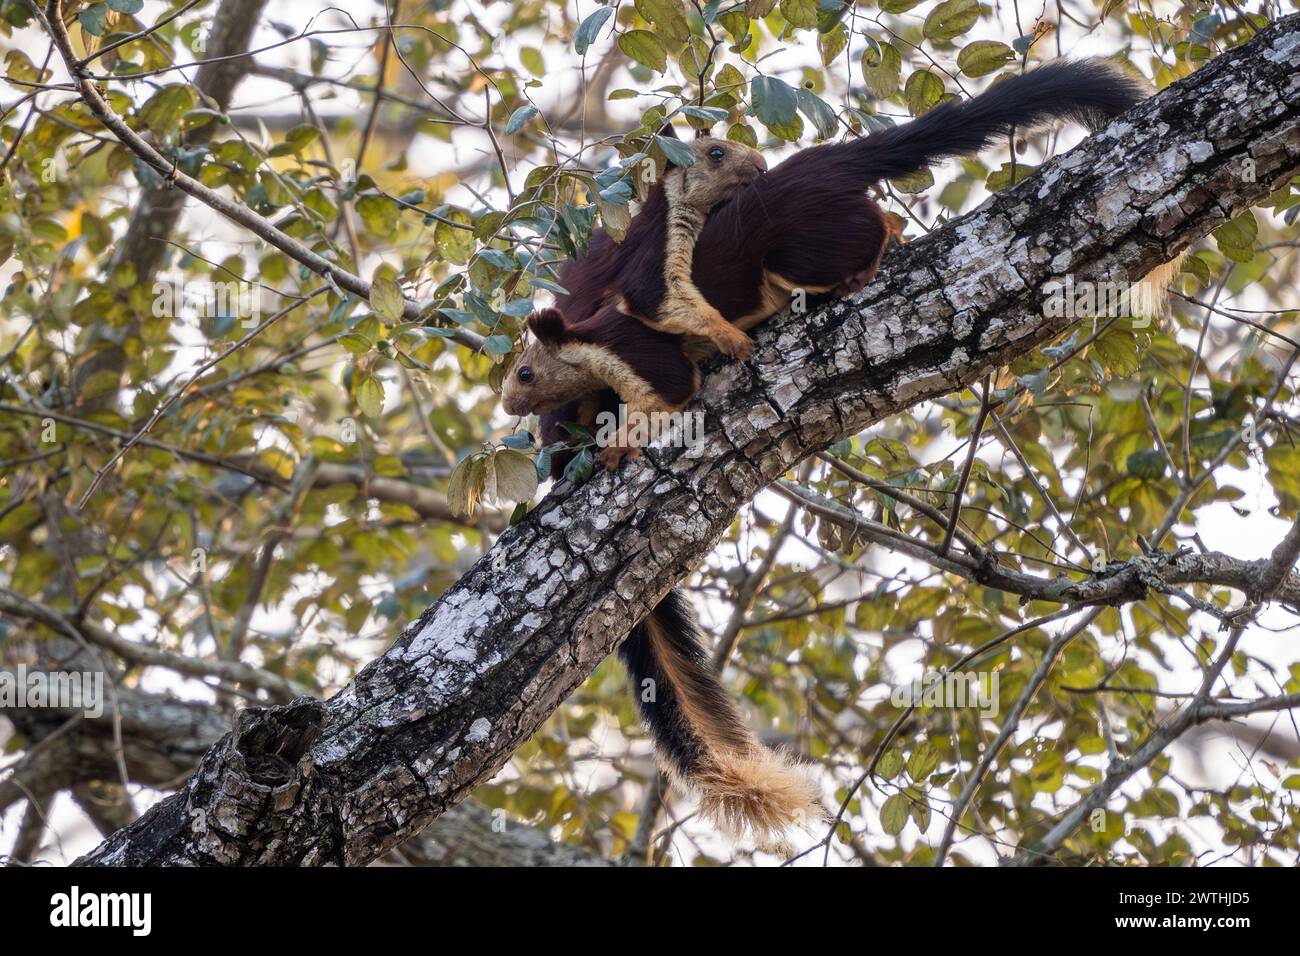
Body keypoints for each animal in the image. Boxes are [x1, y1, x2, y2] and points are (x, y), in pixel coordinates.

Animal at [502, 59, 1163, 850]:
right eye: (714, 150)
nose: (512, 402)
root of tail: (835, 162)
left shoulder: (647, 323)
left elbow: (670, 374)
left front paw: (656, 407)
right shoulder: (641, 295)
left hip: (802, 242)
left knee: (871, 230)